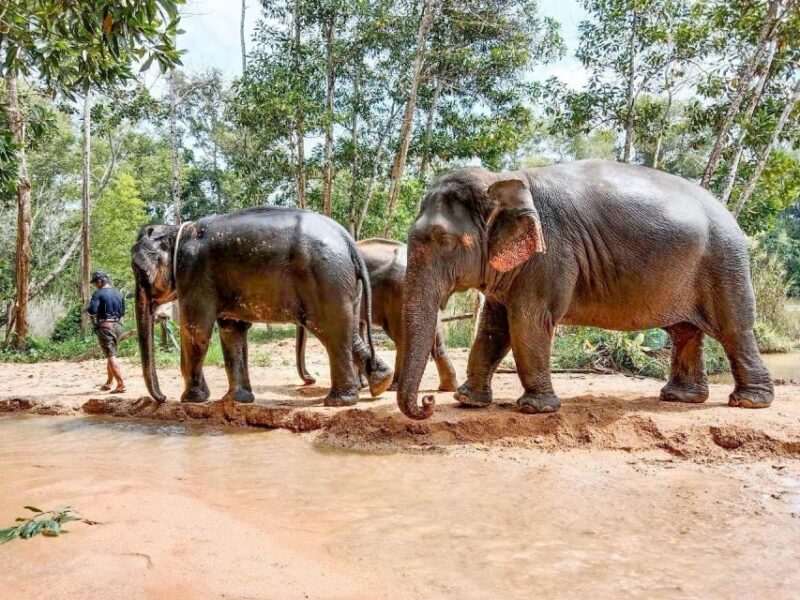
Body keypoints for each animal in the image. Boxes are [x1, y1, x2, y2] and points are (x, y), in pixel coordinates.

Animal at [131, 206, 394, 407]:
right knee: (346, 330)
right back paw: (381, 383)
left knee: (331, 331)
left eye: (138, 270)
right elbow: (232, 331)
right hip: (343, 283)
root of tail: (347, 240)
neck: (178, 231)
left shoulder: (194, 275)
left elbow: (197, 332)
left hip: (325, 276)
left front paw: (191, 400)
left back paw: (338, 402)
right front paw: (237, 400)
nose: (162, 398)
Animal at [295, 238, 459, 392]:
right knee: (436, 340)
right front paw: (362, 385)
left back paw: (394, 386)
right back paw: (447, 387)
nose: (311, 379)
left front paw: (361, 385)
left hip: (399, 293)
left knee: (401, 338)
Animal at [395, 159, 774, 420]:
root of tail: (728, 212)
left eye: (444, 241)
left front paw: (536, 409)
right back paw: (679, 398)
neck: (502, 179)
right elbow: (493, 329)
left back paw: (749, 401)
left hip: (724, 262)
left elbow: (529, 323)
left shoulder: (551, 256)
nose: (428, 402)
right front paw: (468, 401)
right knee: (684, 332)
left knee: (733, 329)